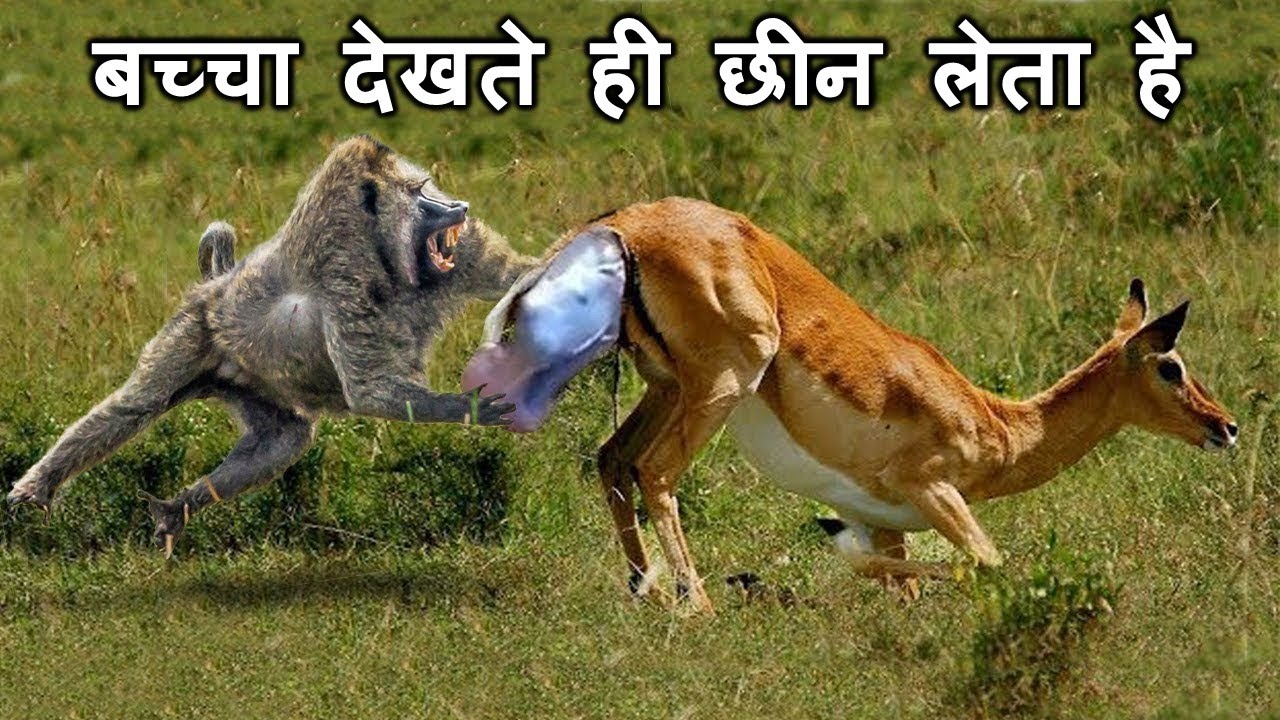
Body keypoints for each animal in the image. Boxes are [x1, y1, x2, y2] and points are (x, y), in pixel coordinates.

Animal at [7, 135, 540, 555]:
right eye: (418, 193)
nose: (457, 207)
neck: (380, 247)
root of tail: (215, 286)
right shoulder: (346, 275)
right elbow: (371, 392)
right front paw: (472, 408)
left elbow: (518, 275)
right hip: (191, 332)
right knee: (136, 406)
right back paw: (39, 485)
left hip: (246, 379)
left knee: (283, 440)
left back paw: (181, 507)